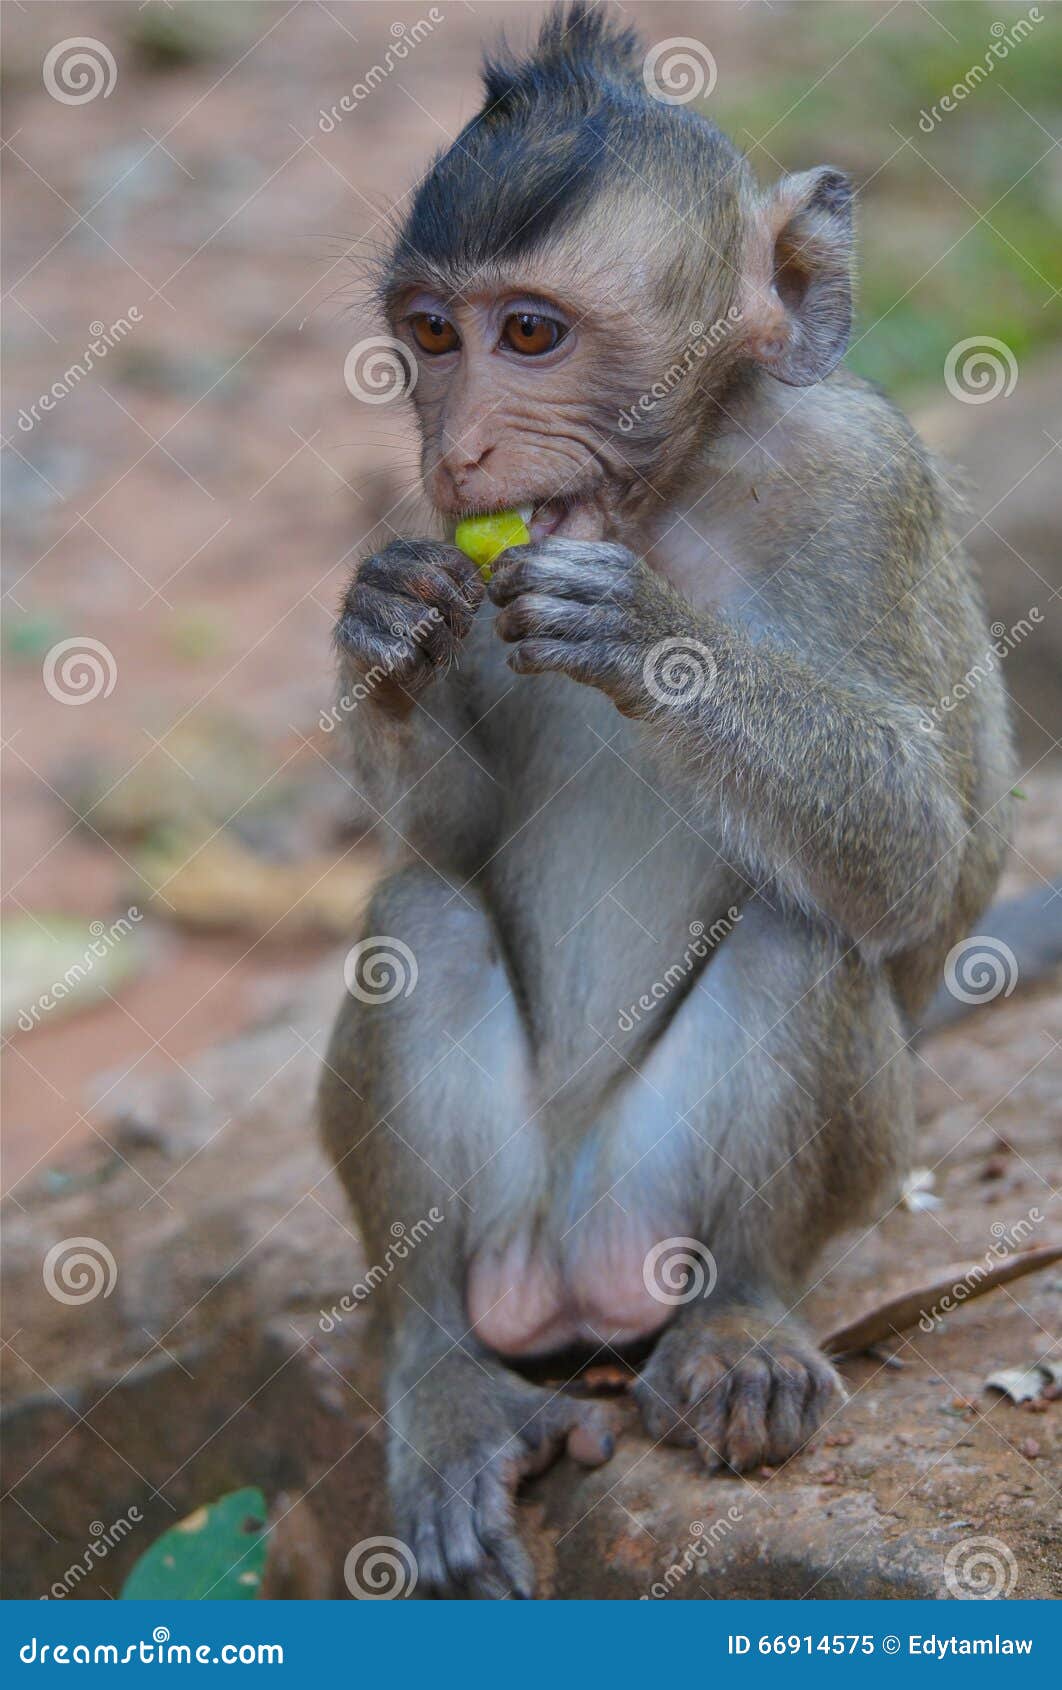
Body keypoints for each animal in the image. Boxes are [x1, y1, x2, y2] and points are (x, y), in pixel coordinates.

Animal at [319, 5, 1019, 1598]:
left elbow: (927, 862)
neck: (672, 490)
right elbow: (450, 841)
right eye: (430, 336)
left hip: (662, 1203)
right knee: (421, 916)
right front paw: (381, 628)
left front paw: (646, 637)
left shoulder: (867, 486)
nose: (457, 450)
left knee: (802, 937)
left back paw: (741, 1324)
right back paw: (440, 1370)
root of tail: (572, 1257)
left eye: (530, 334)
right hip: (513, 1208)